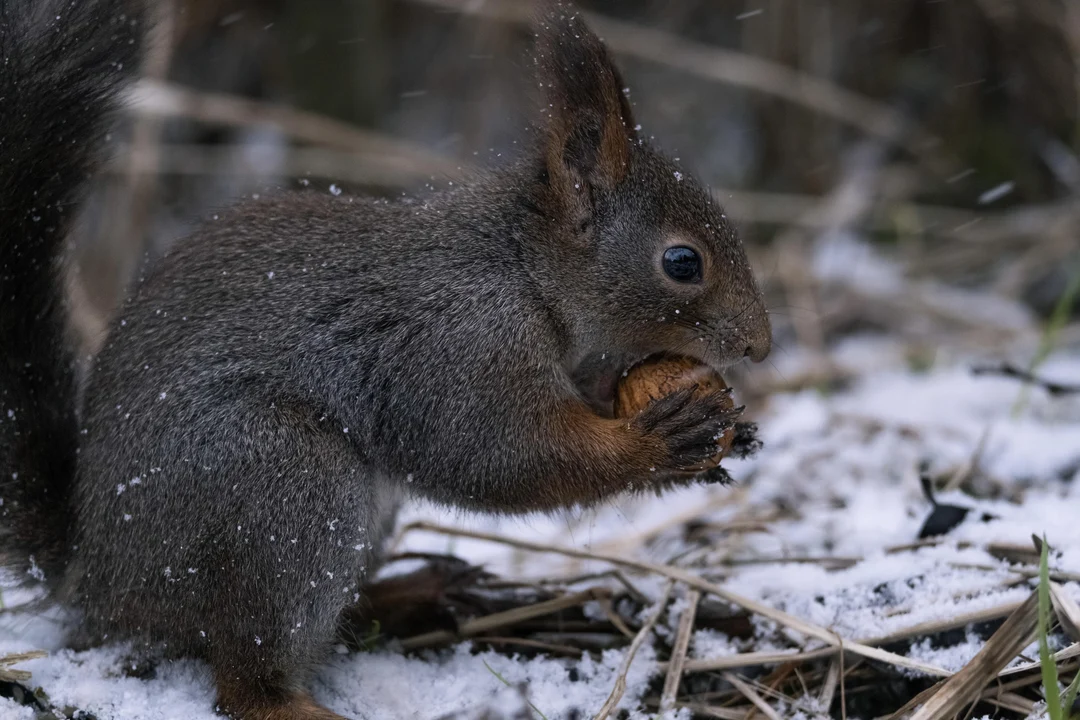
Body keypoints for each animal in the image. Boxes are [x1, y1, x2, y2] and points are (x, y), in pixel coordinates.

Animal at [0, 1, 771, 718]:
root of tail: (98, 578)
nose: (760, 346)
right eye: (682, 262)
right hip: (282, 482)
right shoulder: (458, 346)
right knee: (245, 673)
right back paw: (297, 699)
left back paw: (415, 594)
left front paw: (720, 431)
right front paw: (653, 442)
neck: (524, 272)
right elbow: (499, 455)